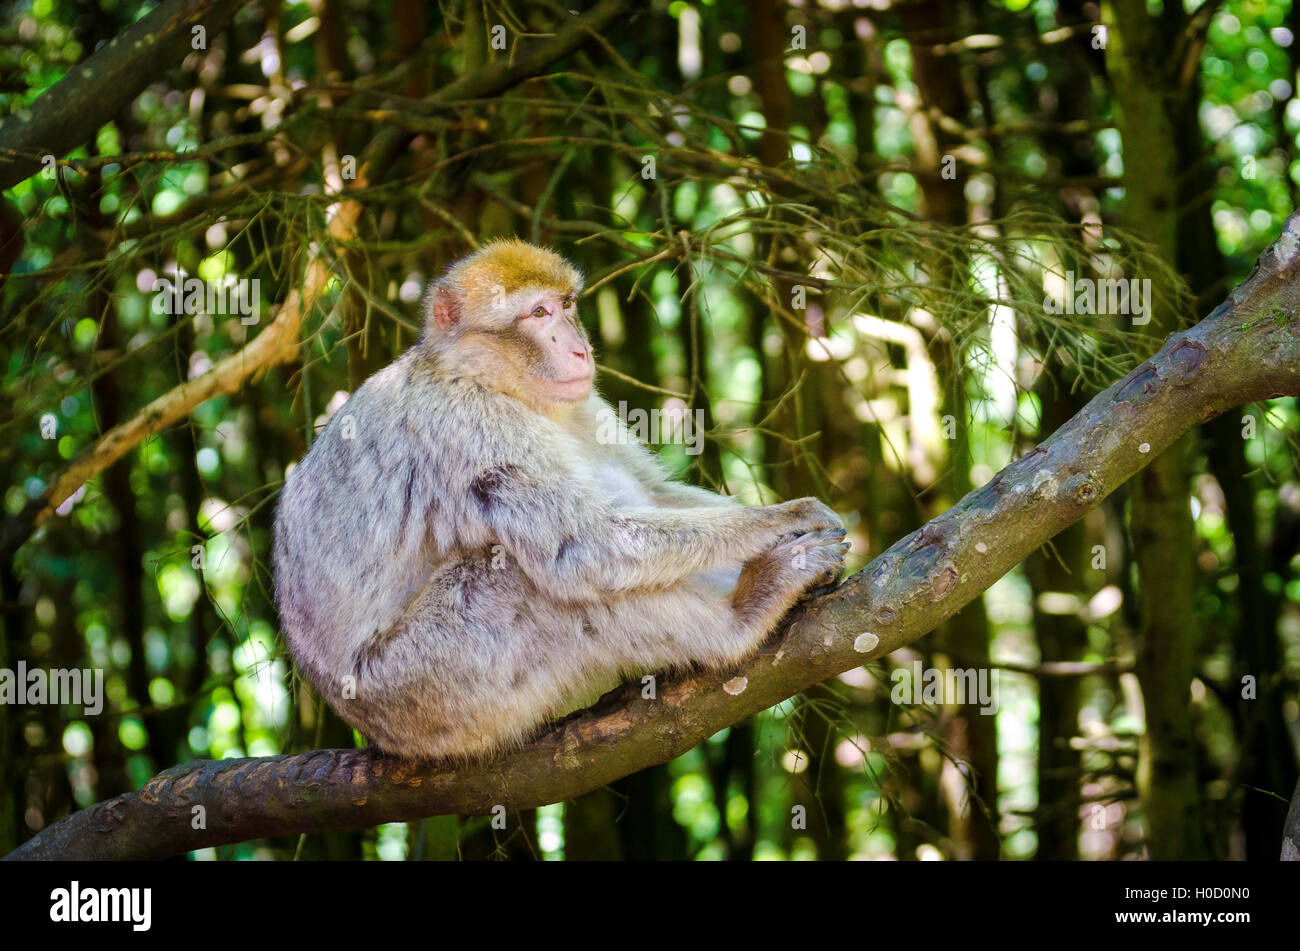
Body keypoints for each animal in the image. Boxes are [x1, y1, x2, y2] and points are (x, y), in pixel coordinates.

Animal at [272, 239, 848, 761]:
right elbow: (587, 549)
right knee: (529, 578)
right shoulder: (470, 426)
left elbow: (652, 494)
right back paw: (742, 617)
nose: (579, 349)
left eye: (567, 303)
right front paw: (788, 516)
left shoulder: (581, 402)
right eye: (538, 313)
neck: (481, 377)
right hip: (428, 690)